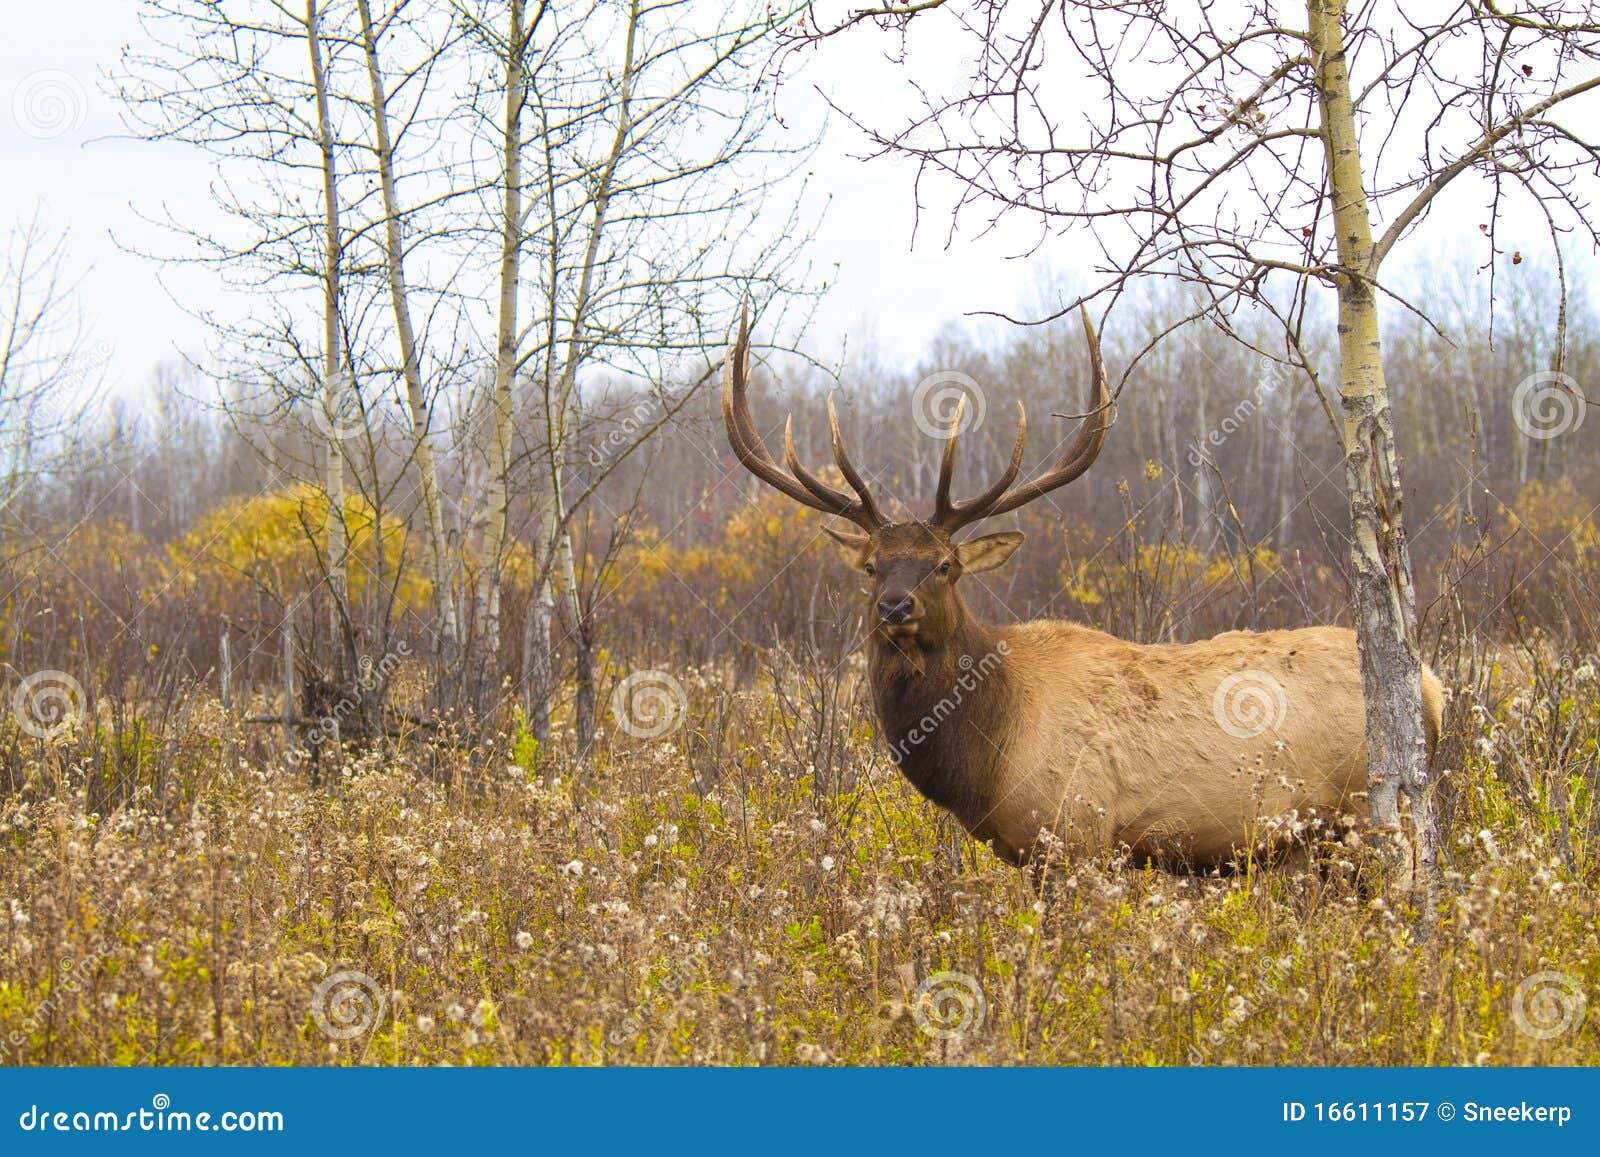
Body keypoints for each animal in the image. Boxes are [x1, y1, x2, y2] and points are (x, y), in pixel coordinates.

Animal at [723, 307, 1444, 871]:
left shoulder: (1076, 832)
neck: (987, 750)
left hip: (1367, 812)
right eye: (871, 565)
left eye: (946, 565)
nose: (895, 605)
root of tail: (1435, 689)